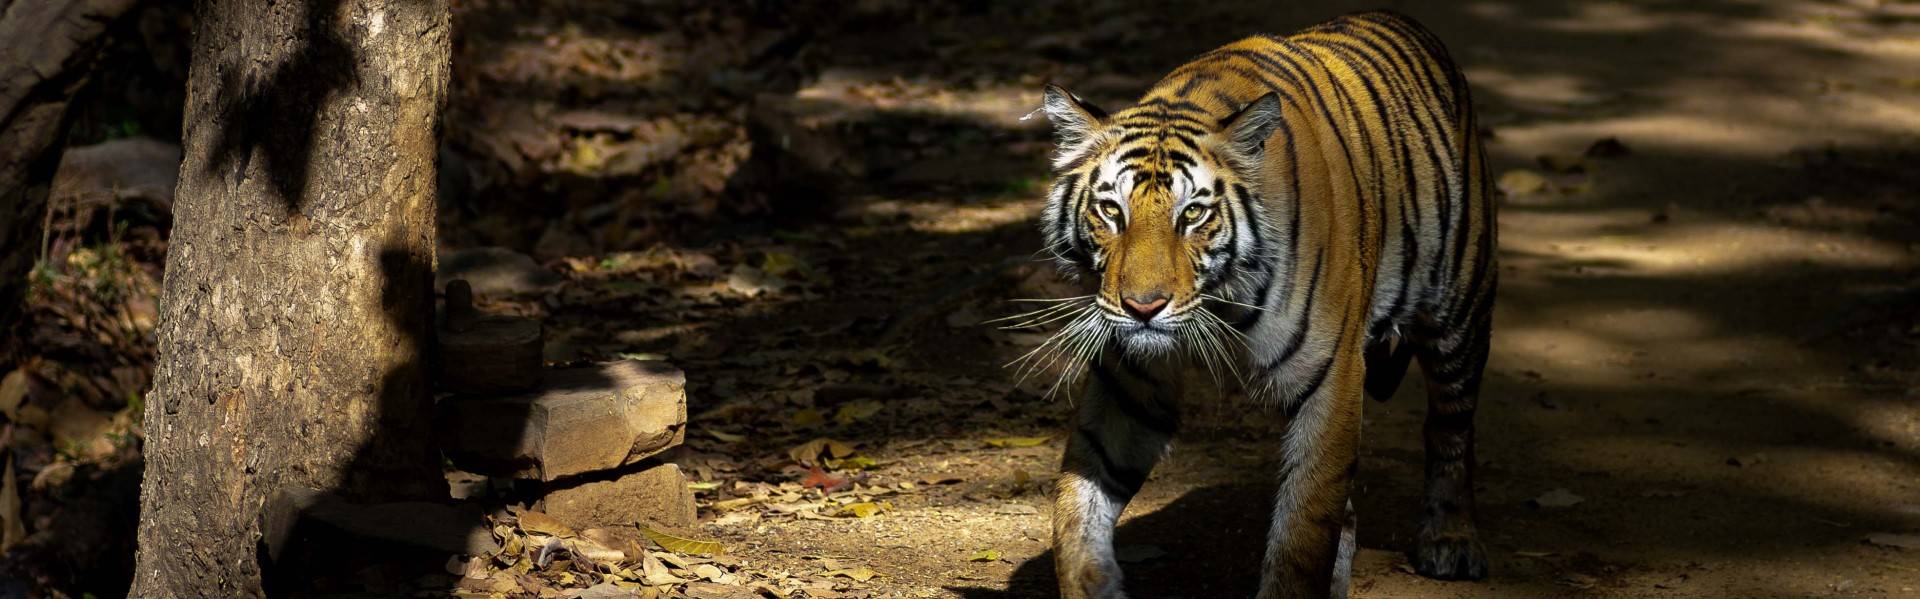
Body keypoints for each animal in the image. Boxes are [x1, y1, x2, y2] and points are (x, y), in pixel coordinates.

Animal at [1016, 10, 1497, 599]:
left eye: (1193, 214)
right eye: (1111, 211)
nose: (1143, 307)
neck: (1220, 301)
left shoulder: (1332, 379)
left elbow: (1303, 530)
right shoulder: (1129, 382)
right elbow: (1077, 506)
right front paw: (1093, 582)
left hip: (1460, 312)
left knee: (1451, 427)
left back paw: (1451, 540)